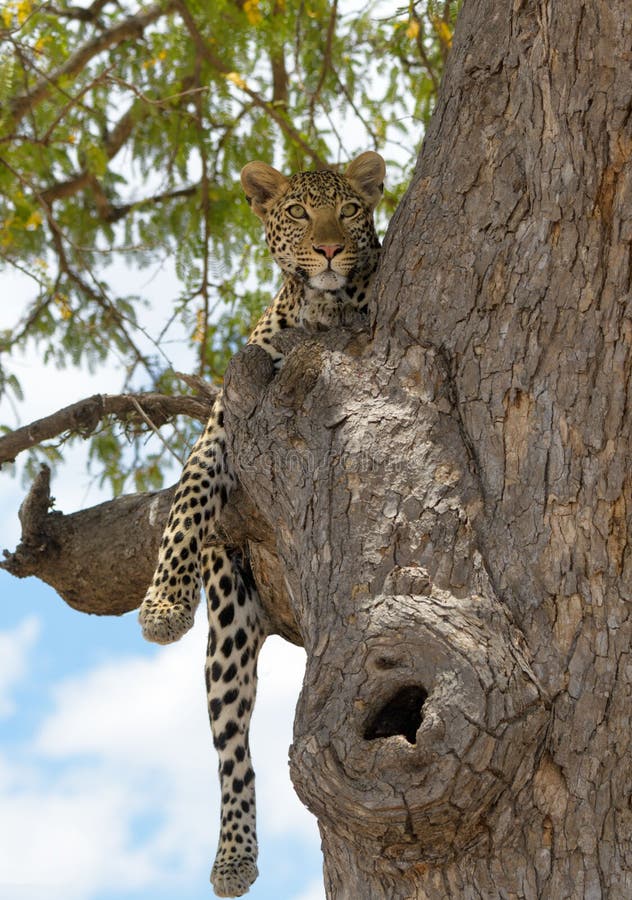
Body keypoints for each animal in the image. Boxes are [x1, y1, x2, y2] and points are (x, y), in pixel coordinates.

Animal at [138, 151, 385, 897]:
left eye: (350, 211)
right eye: (300, 213)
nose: (329, 249)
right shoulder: (224, 421)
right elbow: (188, 497)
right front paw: (161, 604)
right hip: (228, 621)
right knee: (232, 749)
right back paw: (233, 857)